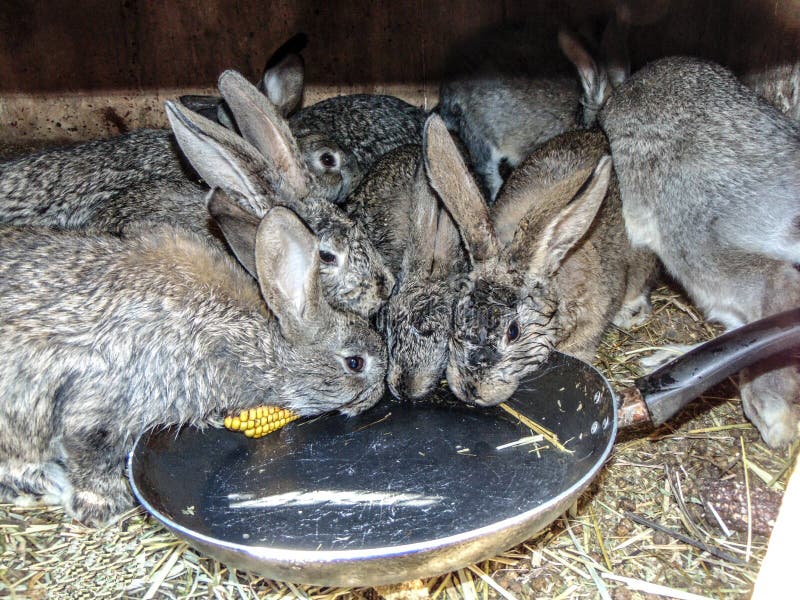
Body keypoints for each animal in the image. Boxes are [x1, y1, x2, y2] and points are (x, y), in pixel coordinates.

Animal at [0, 188, 387, 526]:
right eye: (355, 362)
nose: (377, 395)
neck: (262, 341)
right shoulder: (105, 404)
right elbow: (91, 454)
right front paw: (104, 508)